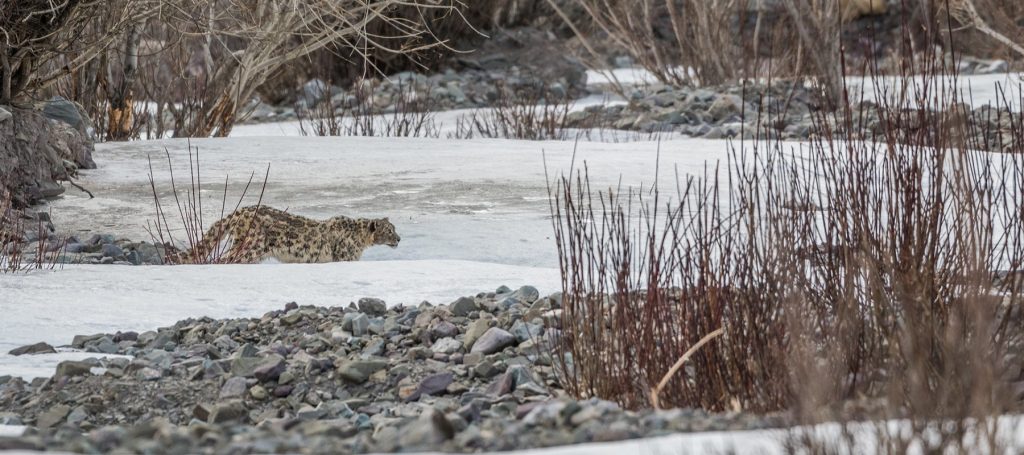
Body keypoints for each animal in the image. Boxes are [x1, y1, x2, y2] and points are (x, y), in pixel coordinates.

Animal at [178, 205, 400, 264]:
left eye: (394, 228)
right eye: (389, 230)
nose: (399, 238)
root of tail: (239, 212)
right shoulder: (346, 258)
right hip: (251, 247)